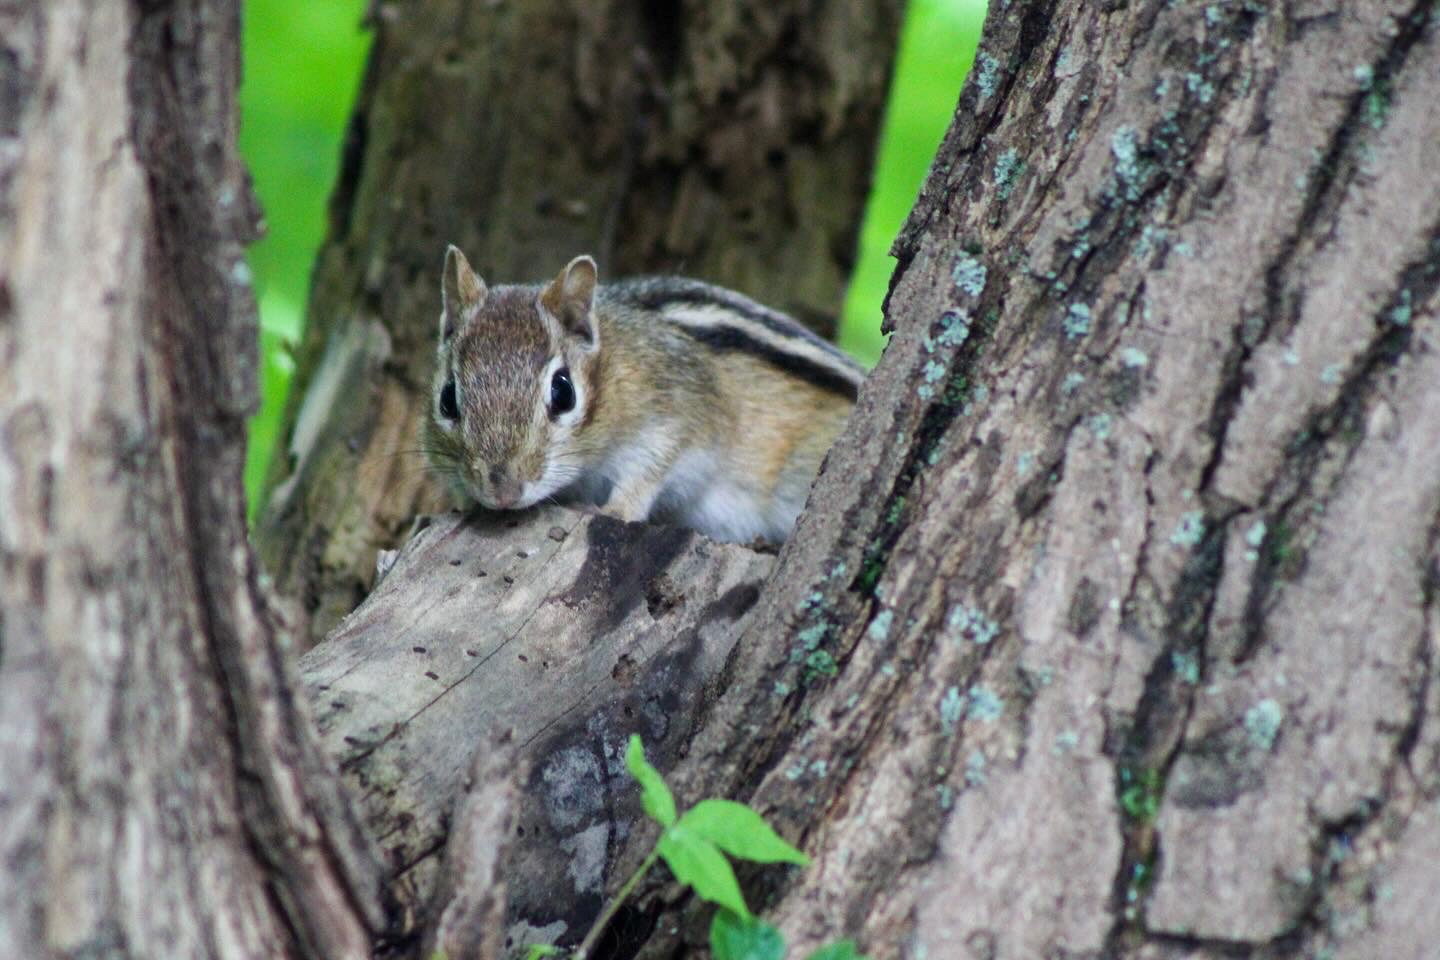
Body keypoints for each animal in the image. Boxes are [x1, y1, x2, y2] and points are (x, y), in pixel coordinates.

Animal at [421, 246, 864, 544]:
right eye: (447, 399)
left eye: (563, 393)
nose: (503, 493)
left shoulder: (677, 415)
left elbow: (649, 472)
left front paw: (612, 509)